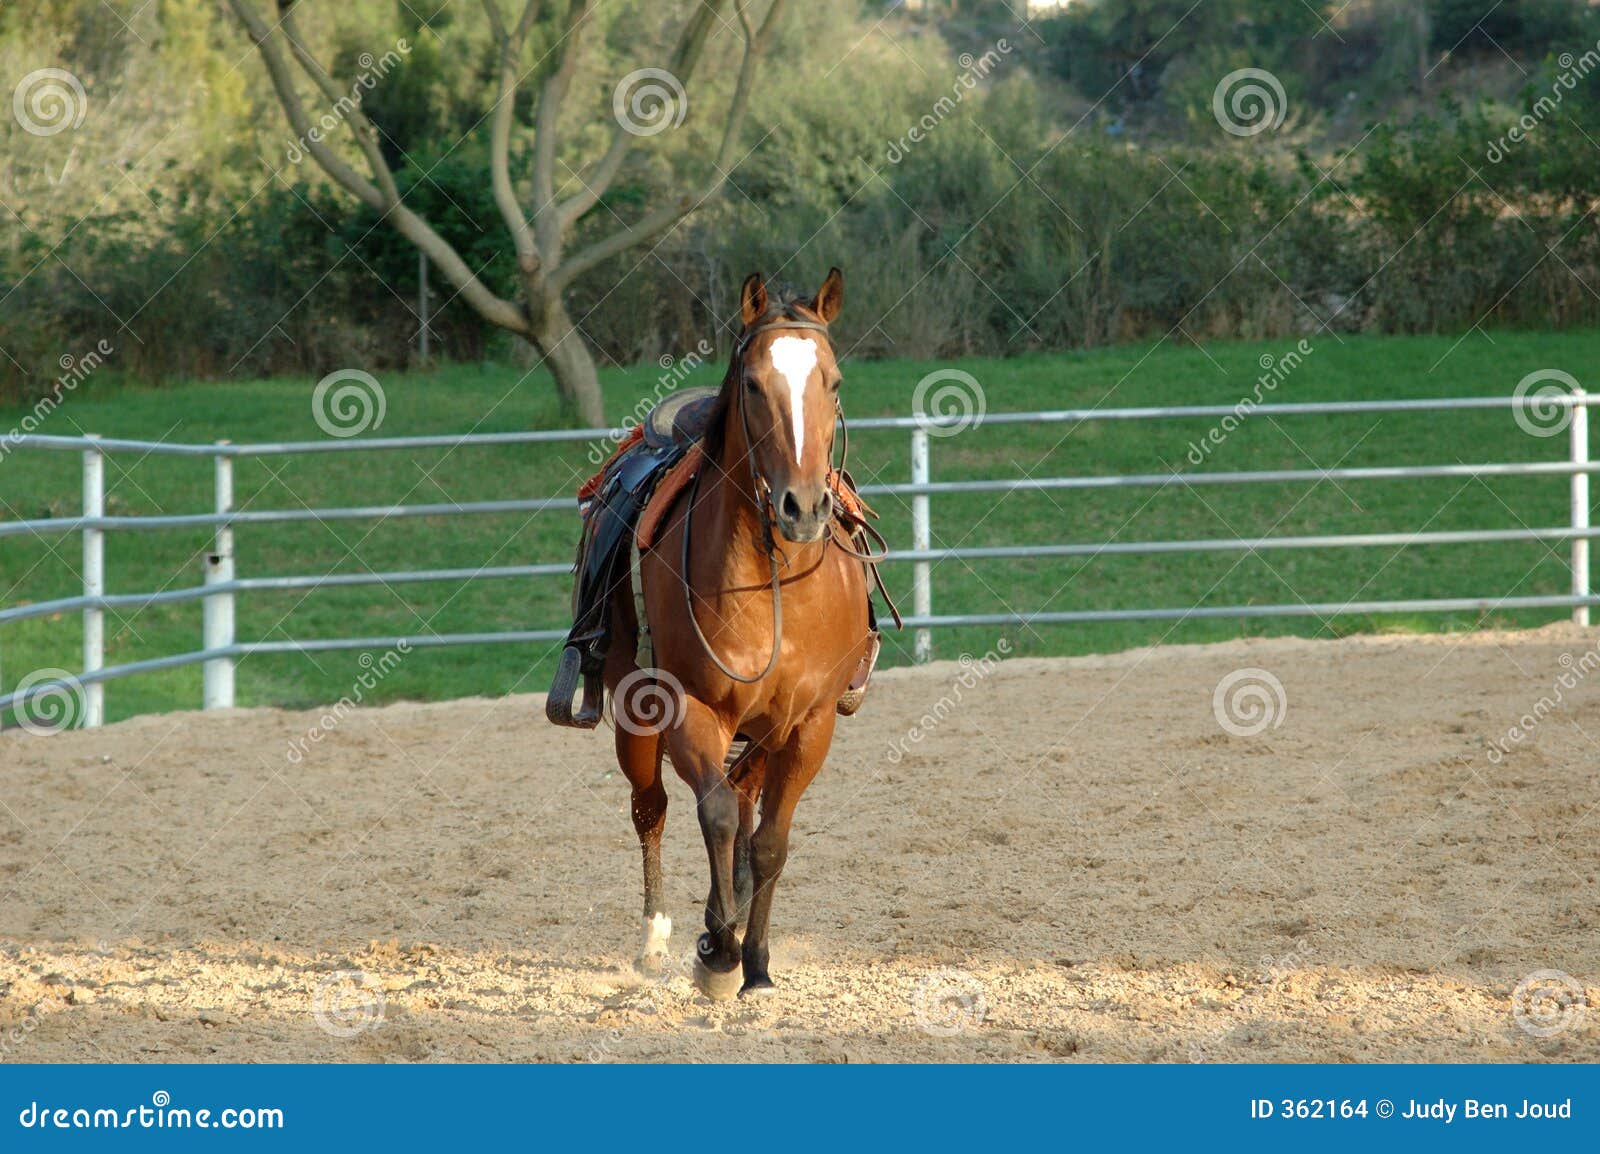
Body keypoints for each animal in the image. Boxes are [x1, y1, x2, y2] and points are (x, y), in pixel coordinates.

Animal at [600, 268, 874, 999]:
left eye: (834, 381)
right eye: (752, 384)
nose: (802, 507)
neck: (772, 588)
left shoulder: (809, 725)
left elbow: (769, 841)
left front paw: (755, 963)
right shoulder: (692, 709)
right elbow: (717, 815)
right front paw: (717, 953)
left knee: (743, 813)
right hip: (637, 721)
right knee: (654, 808)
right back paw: (657, 938)